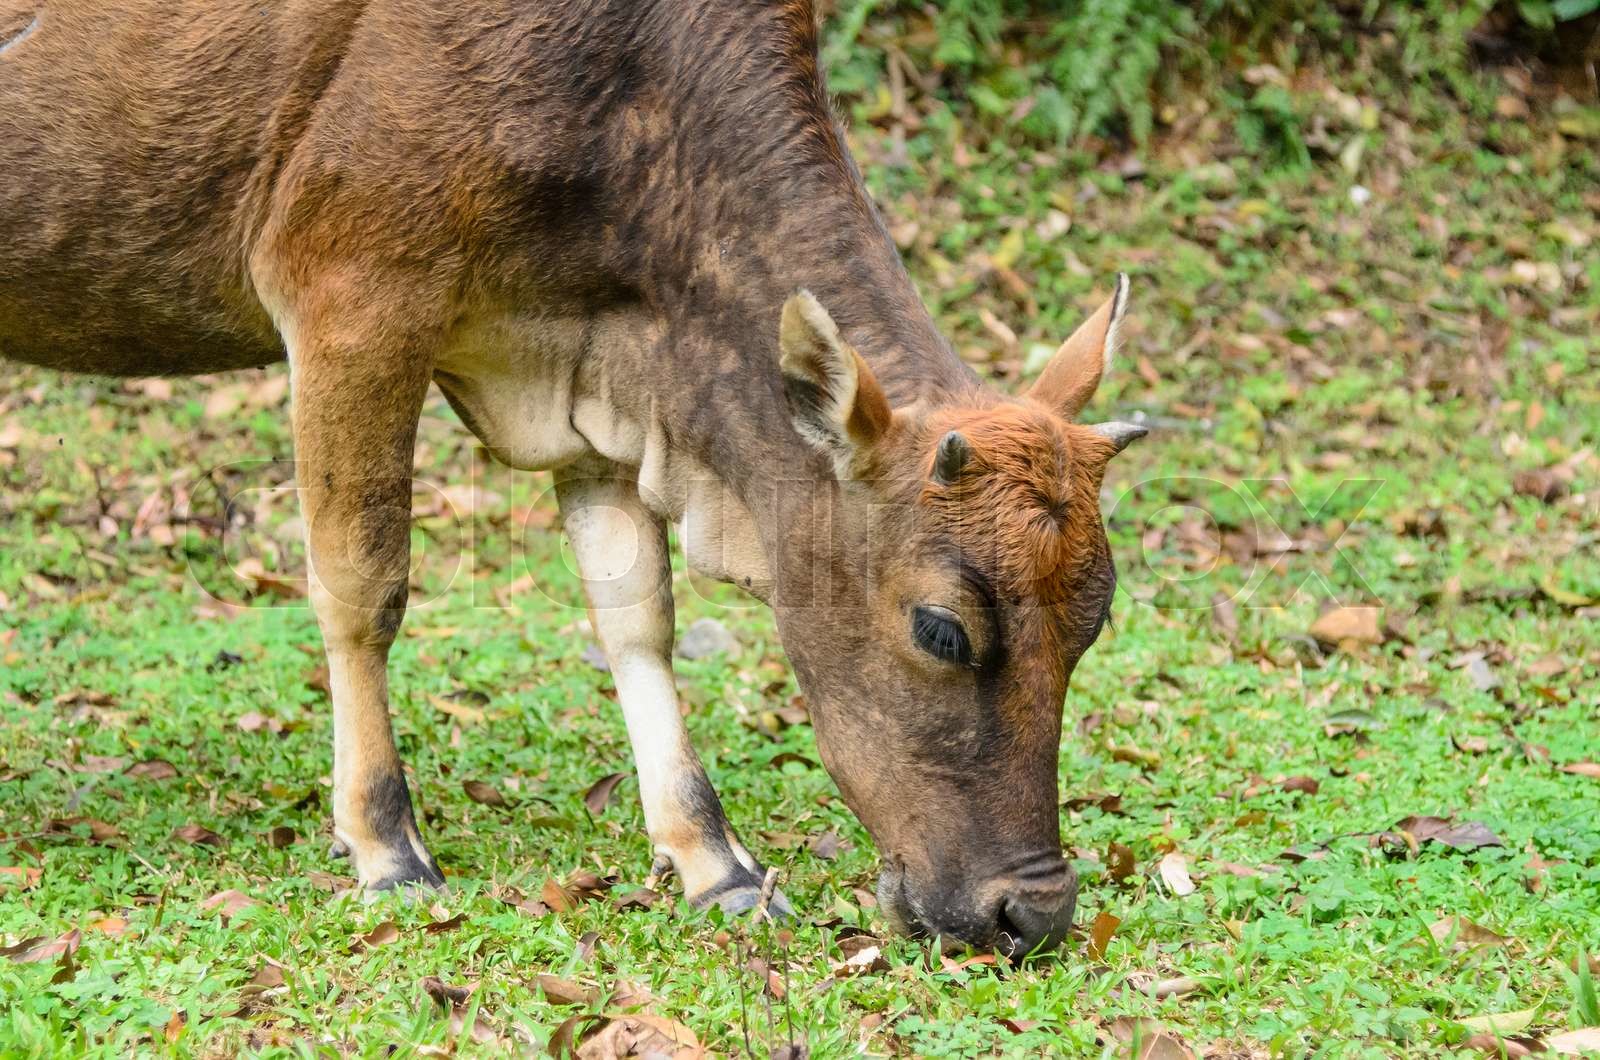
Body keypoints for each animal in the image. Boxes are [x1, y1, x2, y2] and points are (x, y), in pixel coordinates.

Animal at [0, 0, 1145, 957]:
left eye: (1094, 619)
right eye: (941, 627)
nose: (1032, 910)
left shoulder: (600, 384)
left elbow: (634, 615)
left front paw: (713, 860)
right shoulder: (348, 290)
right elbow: (362, 586)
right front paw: (385, 846)